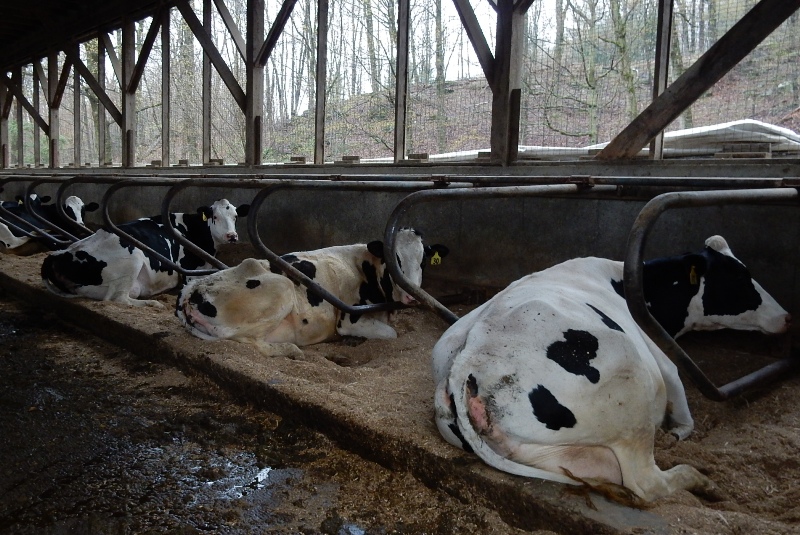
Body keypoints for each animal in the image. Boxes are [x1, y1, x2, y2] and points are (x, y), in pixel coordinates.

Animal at [41, 199, 249, 307]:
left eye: (235, 216)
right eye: (215, 216)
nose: (232, 236)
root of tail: (57, 256)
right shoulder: (189, 272)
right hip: (133, 258)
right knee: (119, 299)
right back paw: (153, 304)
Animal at [175, 228, 449, 357]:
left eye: (423, 260)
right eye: (396, 260)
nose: (411, 295)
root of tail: (190, 291)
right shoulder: (348, 320)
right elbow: (391, 334)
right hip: (283, 288)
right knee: (252, 343)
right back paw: (292, 351)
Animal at [432, 236, 790, 503]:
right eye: (739, 277)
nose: (786, 317)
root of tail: (468, 361)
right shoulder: (660, 355)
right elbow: (679, 390)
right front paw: (678, 432)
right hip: (631, 390)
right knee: (647, 483)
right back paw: (702, 481)